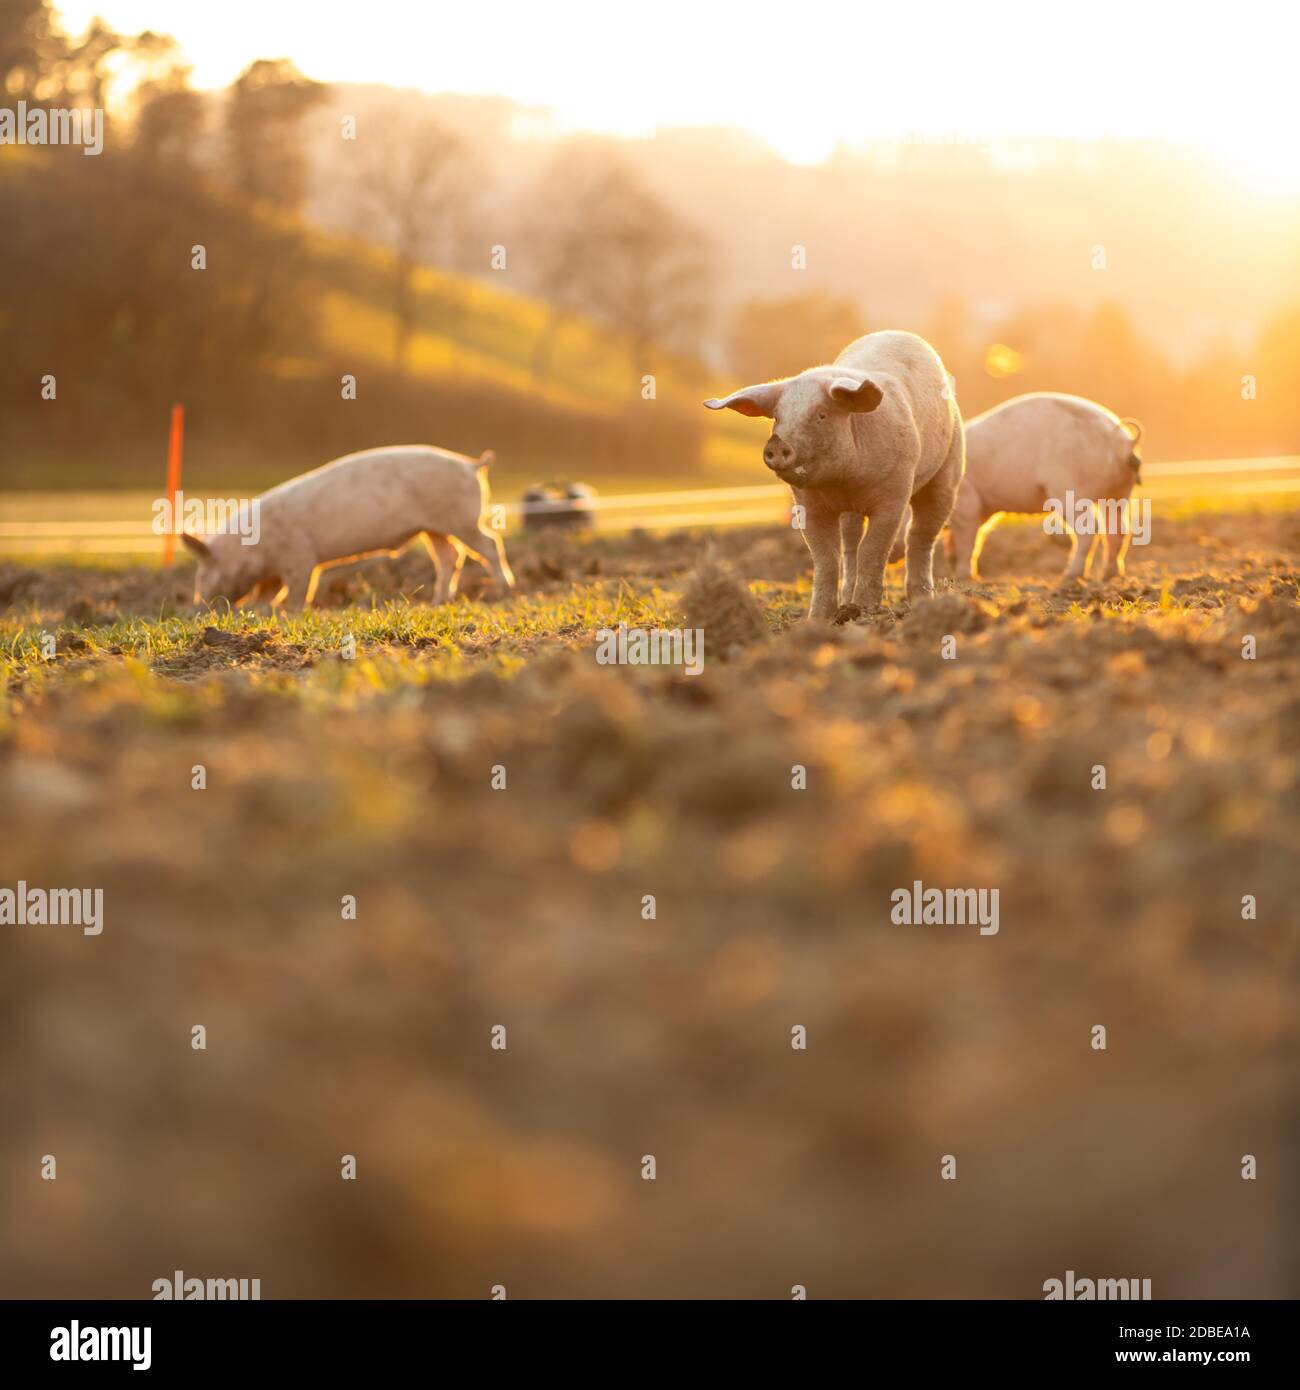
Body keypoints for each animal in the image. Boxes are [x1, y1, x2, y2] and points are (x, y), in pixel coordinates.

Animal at [181, 445, 515, 608]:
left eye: (203, 571)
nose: (199, 604)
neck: (253, 549)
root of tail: (471, 465)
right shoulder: (275, 569)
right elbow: (268, 590)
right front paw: (260, 608)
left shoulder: (298, 555)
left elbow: (298, 587)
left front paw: (287, 610)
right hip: (434, 528)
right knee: (450, 557)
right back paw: (438, 601)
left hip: (462, 519)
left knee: (490, 544)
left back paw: (503, 591)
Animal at [704, 330, 964, 621]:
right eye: (777, 418)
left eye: (822, 415)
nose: (776, 444)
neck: (843, 482)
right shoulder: (808, 505)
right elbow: (826, 557)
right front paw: (818, 618)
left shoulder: (894, 493)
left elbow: (873, 550)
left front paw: (865, 612)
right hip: (853, 514)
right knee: (851, 542)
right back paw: (848, 602)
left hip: (949, 470)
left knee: (920, 535)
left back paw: (922, 601)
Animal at [946, 393, 1144, 582]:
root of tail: (1120, 441)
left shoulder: (966, 499)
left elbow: (967, 540)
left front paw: (963, 577)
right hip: (1119, 493)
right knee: (1118, 530)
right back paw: (1109, 576)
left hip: (1071, 491)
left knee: (1089, 529)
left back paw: (1070, 575)